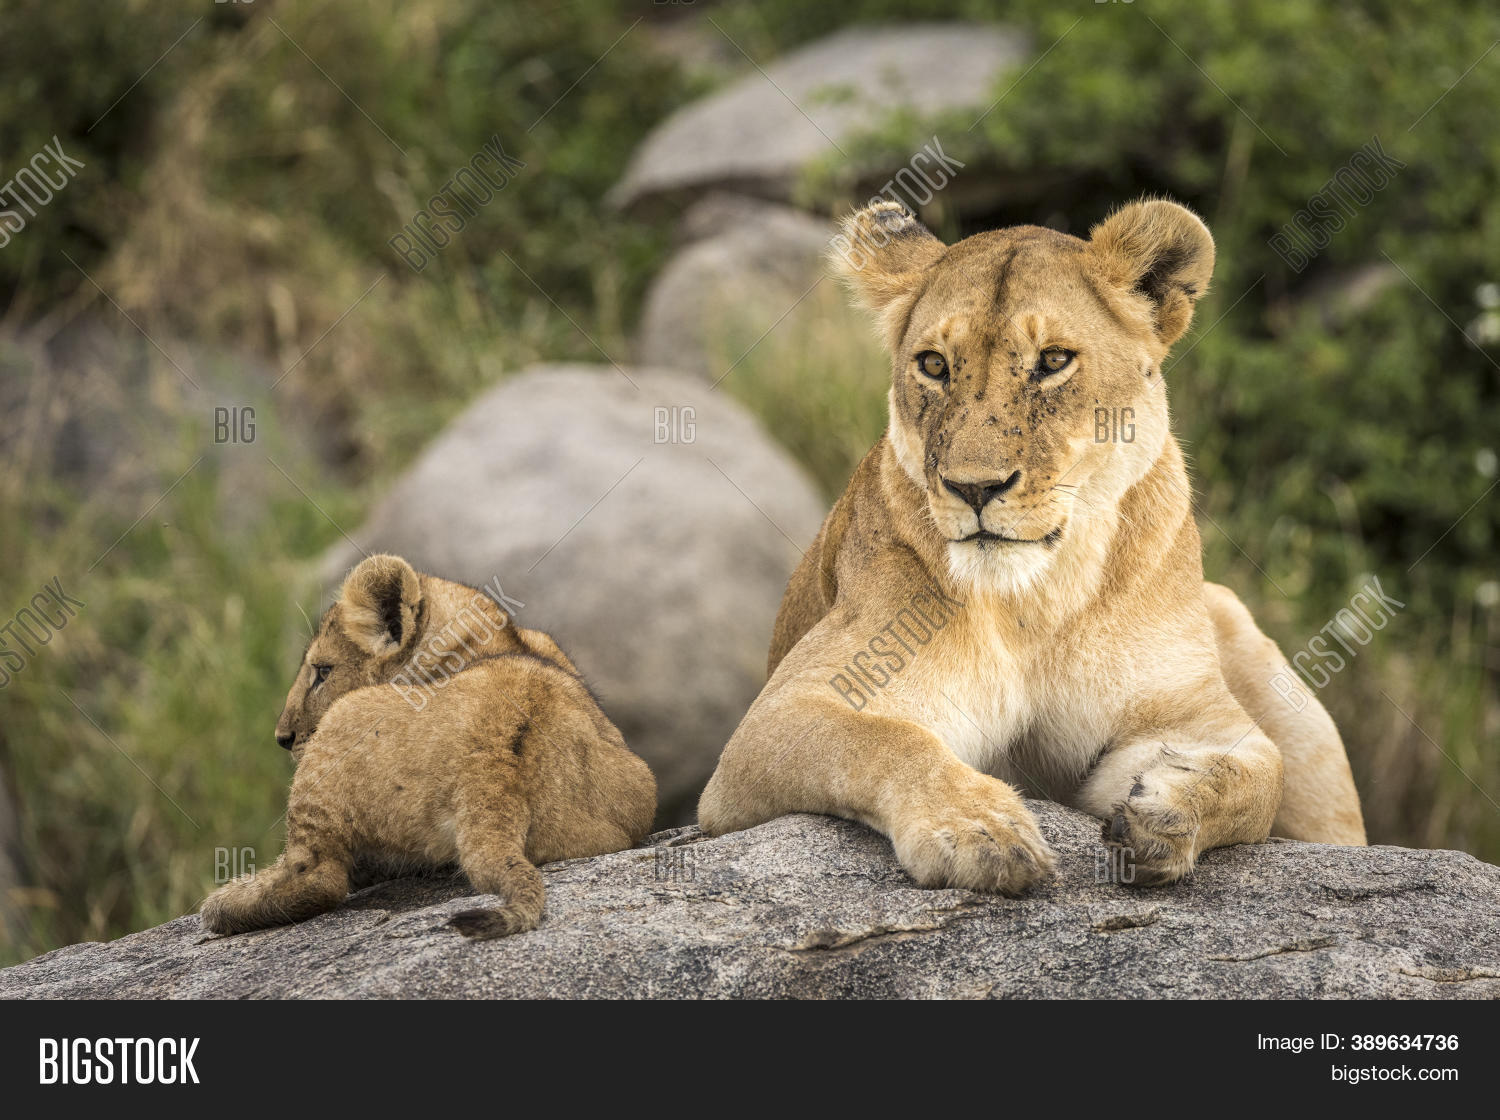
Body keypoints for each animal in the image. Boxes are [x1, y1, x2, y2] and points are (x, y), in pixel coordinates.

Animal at [201, 554, 656, 938]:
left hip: (340, 726)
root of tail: (492, 769)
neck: (485, 642)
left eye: (323, 671)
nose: (282, 738)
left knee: (320, 878)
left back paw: (223, 904)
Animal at [698, 198, 1365, 892]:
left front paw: (1166, 812)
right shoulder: (779, 716)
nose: (974, 486)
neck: (1038, 601)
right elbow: (887, 742)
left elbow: (1260, 774)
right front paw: (979, 829)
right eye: (933, 365)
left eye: (1052, 361)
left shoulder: (1188, 714)